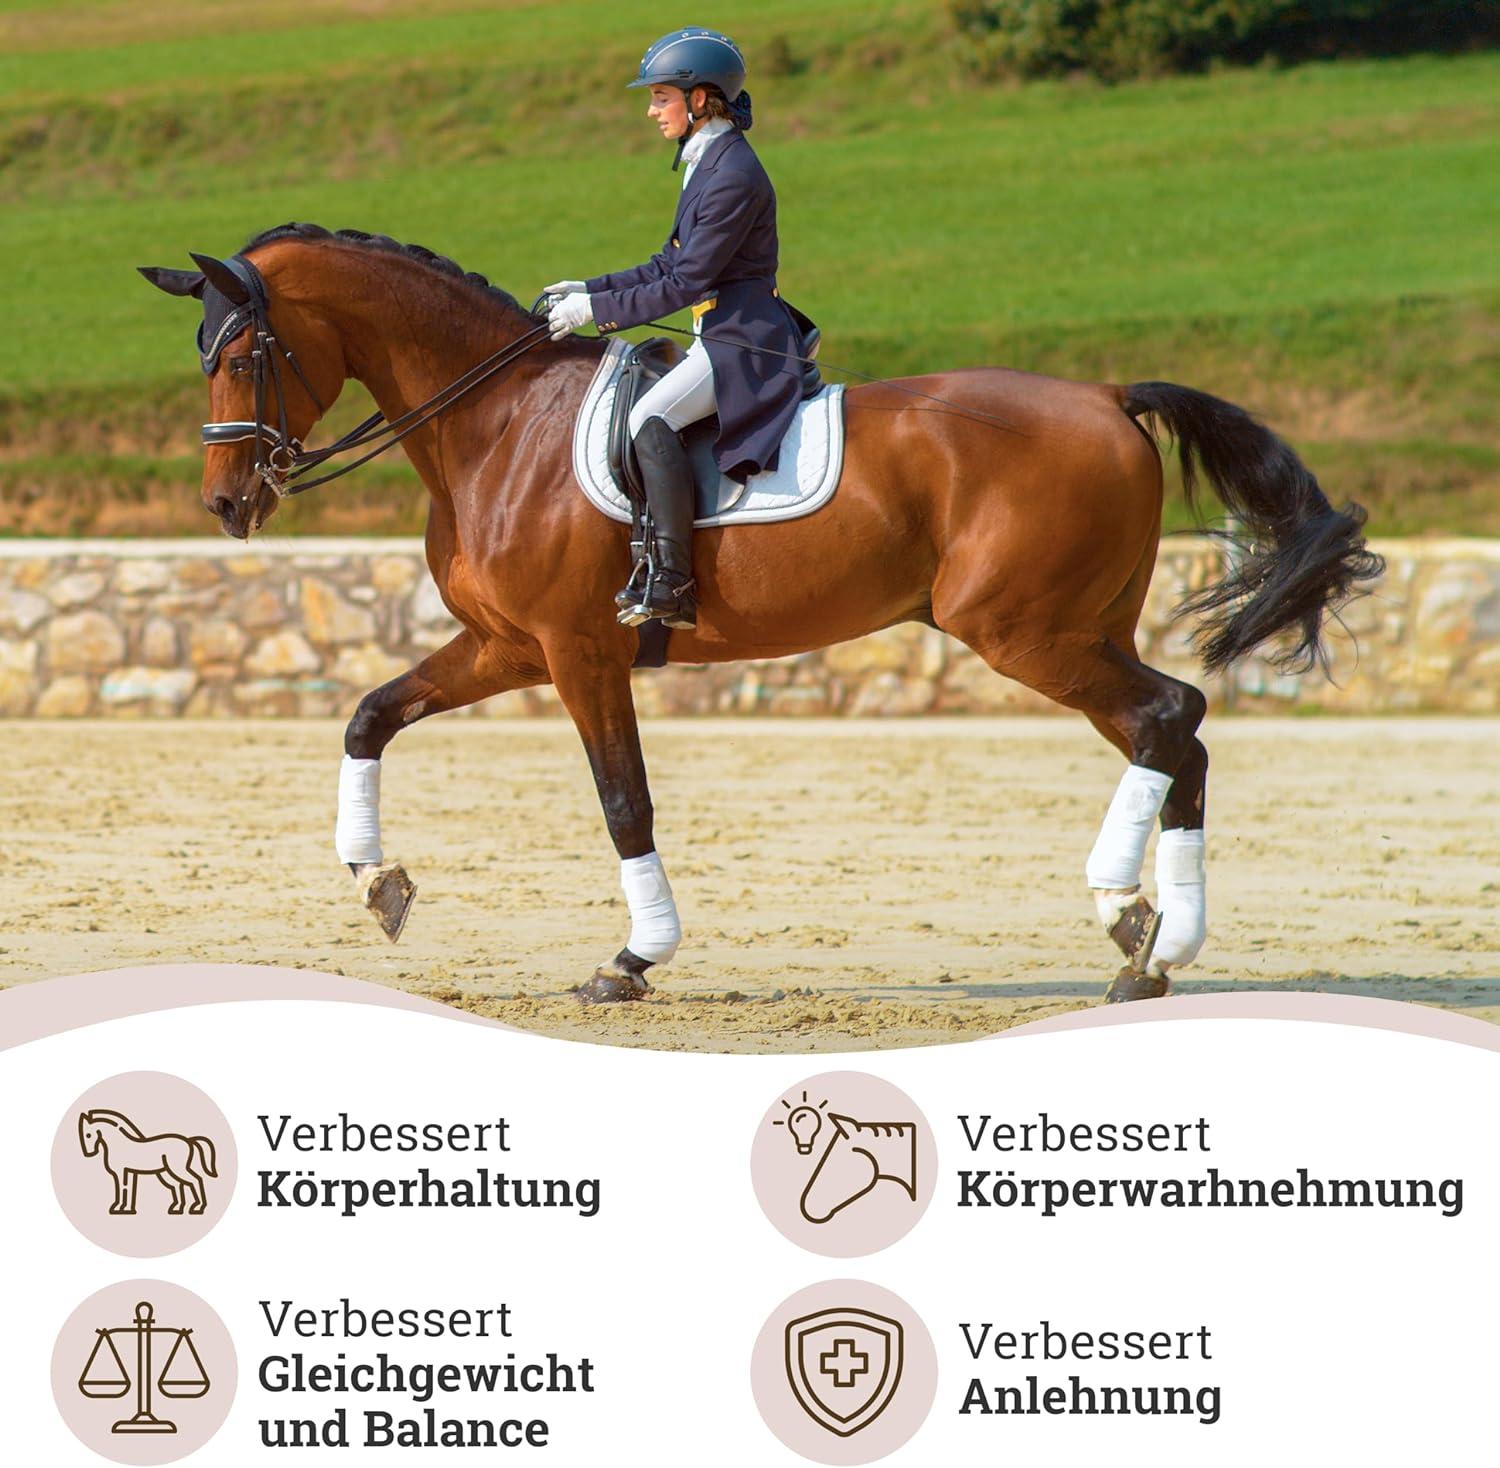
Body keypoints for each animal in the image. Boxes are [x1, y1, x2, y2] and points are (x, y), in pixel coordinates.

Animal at [78, 1109, 218, 1216]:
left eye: (88, 1135)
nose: (89, 1153)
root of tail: (189, 1140)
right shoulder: (130, 1172)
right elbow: (128, 1188)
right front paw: (126, 1209)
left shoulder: (121, 1172)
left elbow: (122, 1187)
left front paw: (118, 1208)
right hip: (167, 1172)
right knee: (179, 1185)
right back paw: (178, 1208)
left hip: (177, 1169)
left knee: (195, 1180)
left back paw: (197, 1207)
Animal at [139, 223, 1381, 1005]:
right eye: (202, 354)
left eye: (246, 352)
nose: (227, 502)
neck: (497, 423)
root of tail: (1107, 396)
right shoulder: (506, 646)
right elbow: (368, 714)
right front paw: (378, 884)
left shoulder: (578, 652)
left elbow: (624, 801)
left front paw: (633, 961)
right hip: (1076, 630)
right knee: (1182, 736)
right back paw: (1156, 941)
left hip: (1028, 633)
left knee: (1170, 719)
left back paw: (1127, 919)